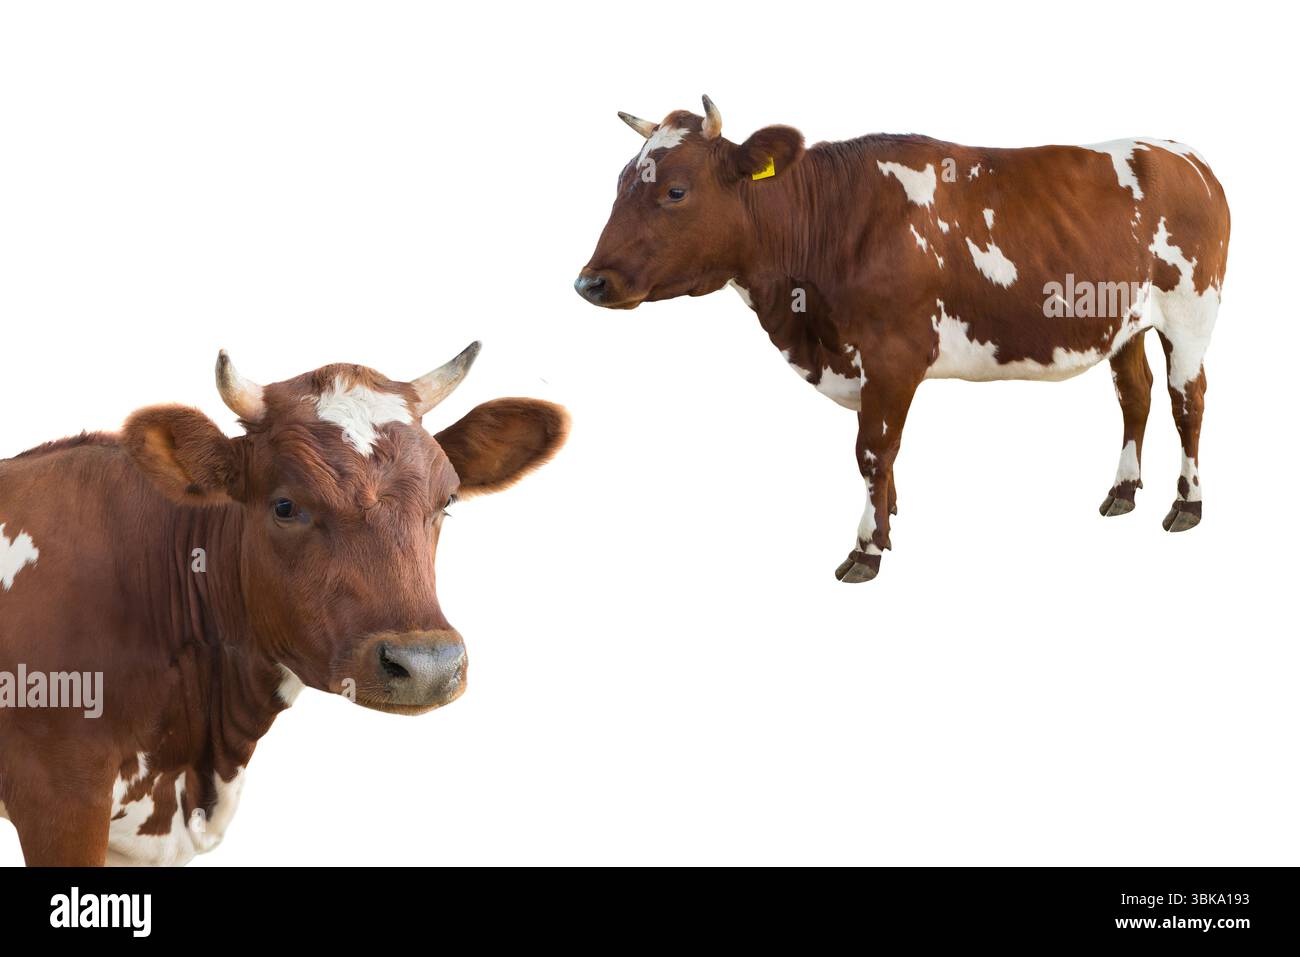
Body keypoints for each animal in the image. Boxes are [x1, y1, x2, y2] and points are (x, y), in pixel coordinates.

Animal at [576, 96, 1229, 583]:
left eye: (676, 191)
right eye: (619, 183)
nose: (590, 281)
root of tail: (1184, 154)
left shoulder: (892, 357)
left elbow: (872, 450)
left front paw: (867, 547)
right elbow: (882, 456)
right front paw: (889, 520)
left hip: (1190, 314)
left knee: (1188, 402)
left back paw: (1186, 504)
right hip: (1126, 324)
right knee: (1135, 395)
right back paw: (1122, 491)